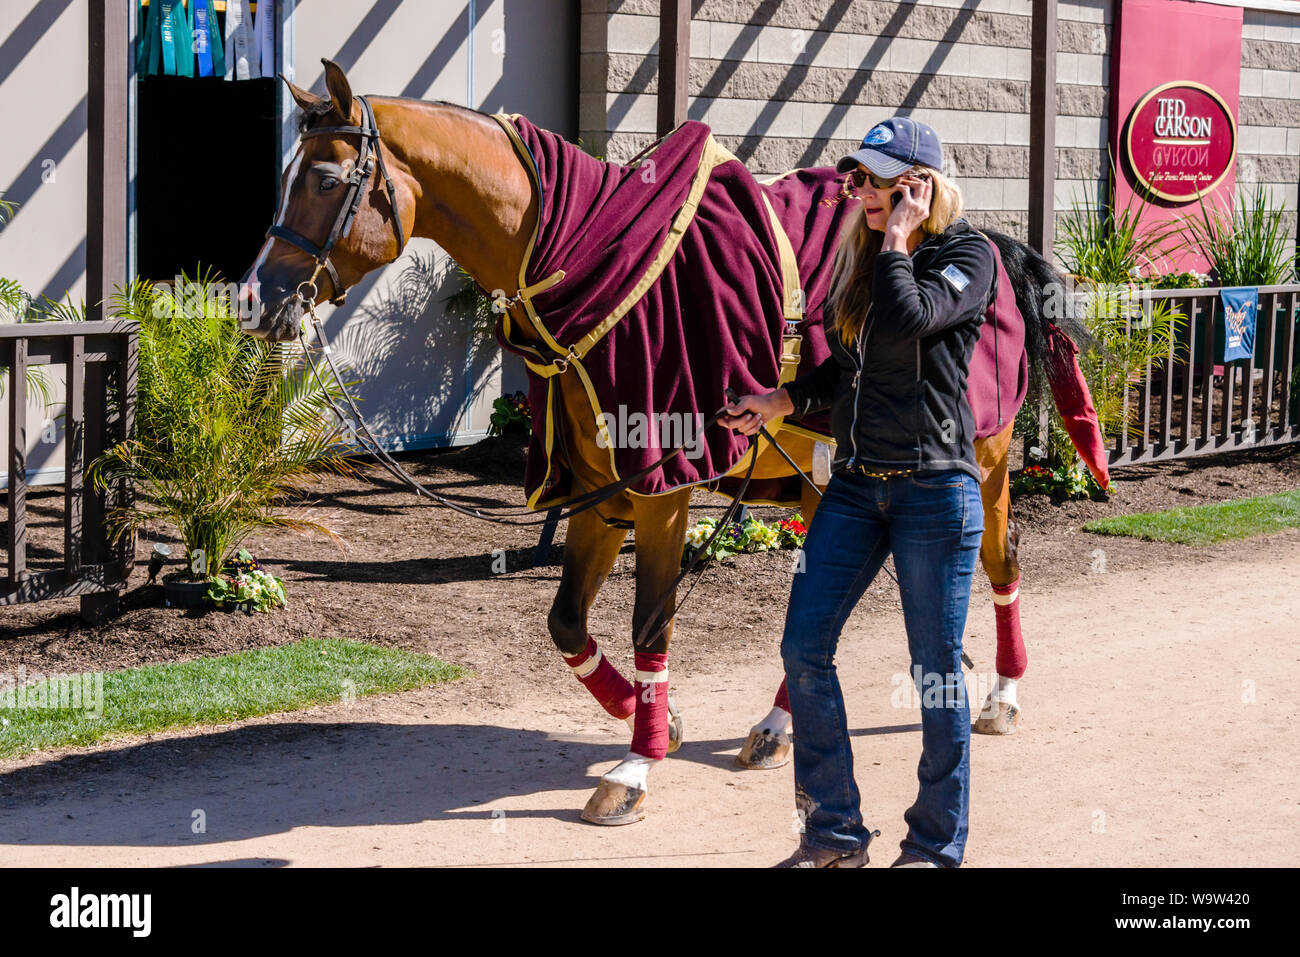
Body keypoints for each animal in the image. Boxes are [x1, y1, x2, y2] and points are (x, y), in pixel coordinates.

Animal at [239, 60, 1102, 825]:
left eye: (325, 180)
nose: (254, 298)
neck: (580, 256)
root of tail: (986, 238)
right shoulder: (601, 491)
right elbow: (566, 624)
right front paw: (655, 717)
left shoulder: (662, 489)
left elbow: (650, 624)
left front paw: (636, 763)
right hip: (829, 475)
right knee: (831, 596)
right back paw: (781, 723)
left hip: (982, 459)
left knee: (1000, 558)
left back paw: (1001, 691)